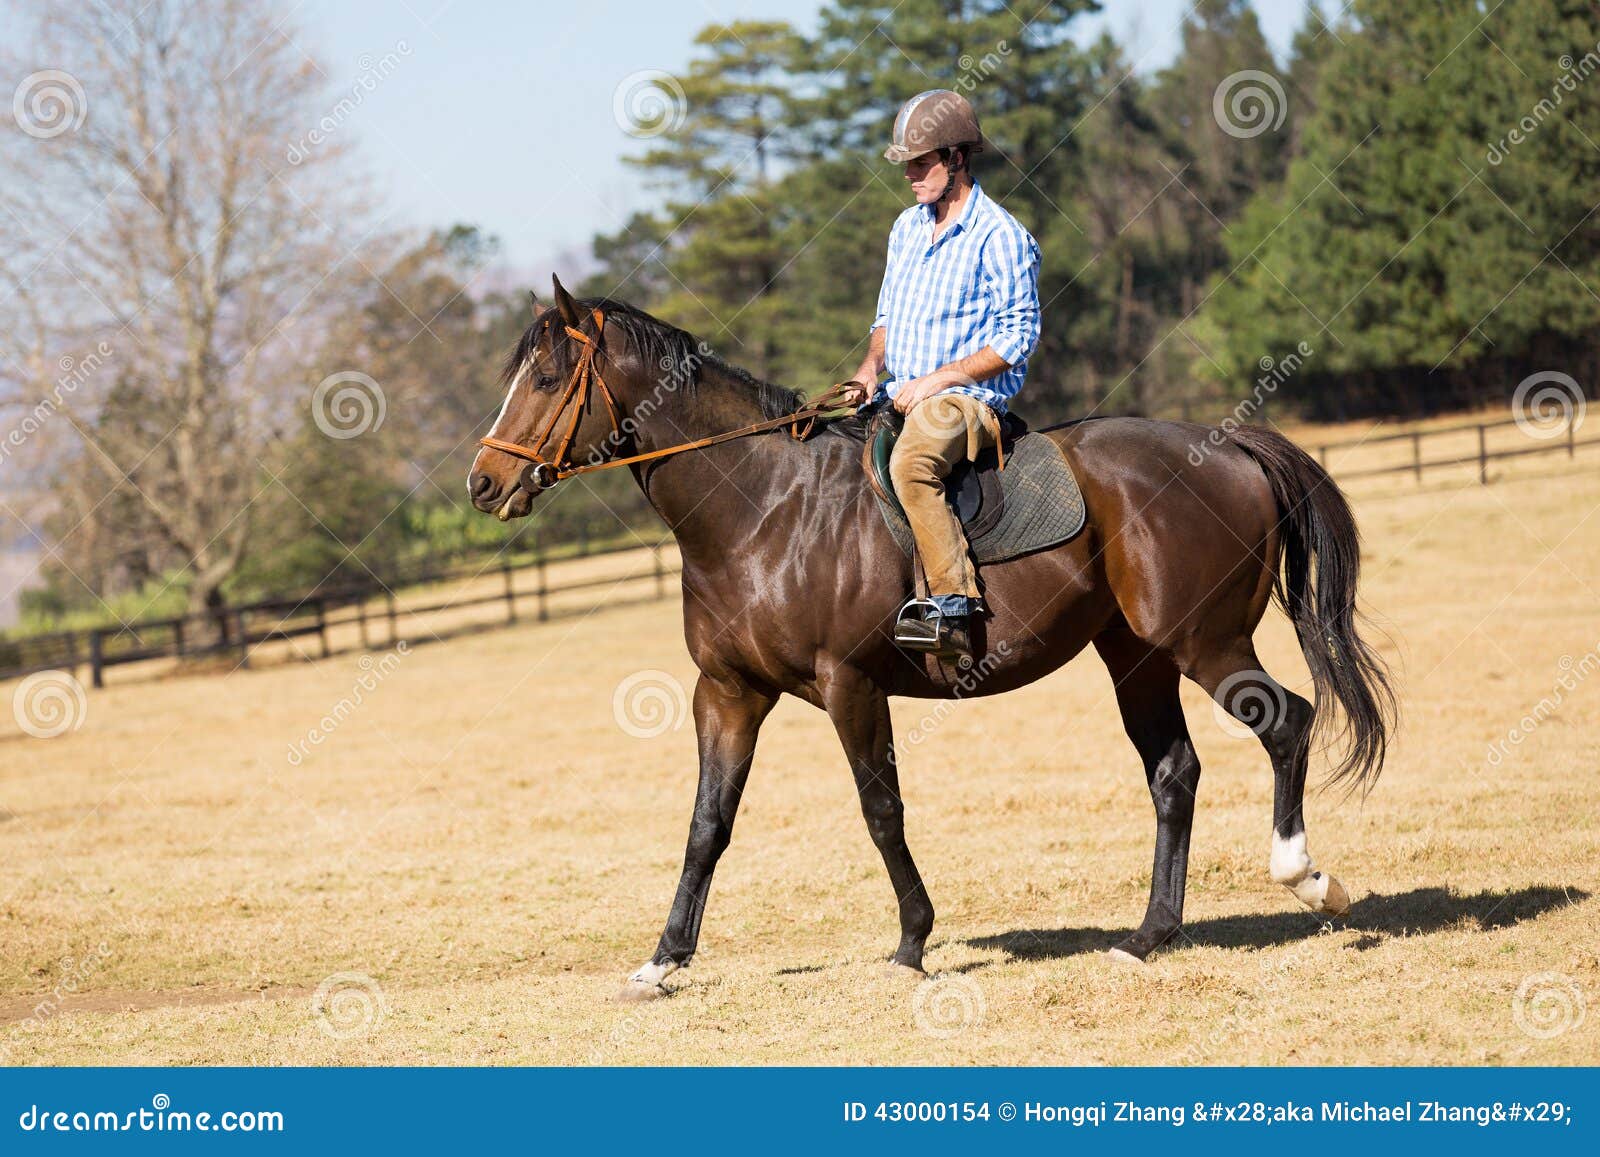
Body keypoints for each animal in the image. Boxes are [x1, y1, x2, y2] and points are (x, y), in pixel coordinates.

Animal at [468, 276, 1397, 1001]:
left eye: (546, 376)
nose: (483, 482)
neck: (761, 507)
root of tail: (1226, 444)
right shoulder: (729, 693)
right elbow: (708, 823)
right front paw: (662, 960)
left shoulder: (848, 683)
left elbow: (881, 811)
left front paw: (912, 941)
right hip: (1137, 656)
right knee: (1174, 771)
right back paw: (1148, 935)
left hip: (1206, 642)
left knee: (1287, 721)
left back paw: (1307, 878)